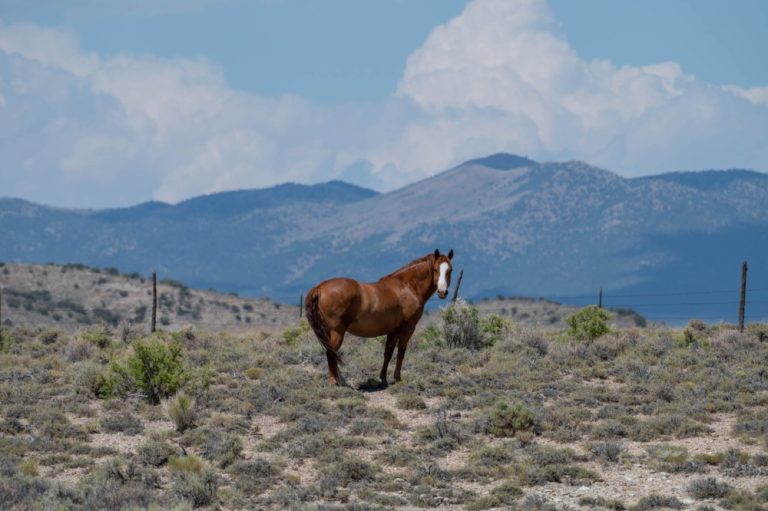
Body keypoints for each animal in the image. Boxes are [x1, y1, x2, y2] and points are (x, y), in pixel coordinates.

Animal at [305, 249, 454, 386]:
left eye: (450, 270)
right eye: (435, 269)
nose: (442, 292)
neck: (407, 287)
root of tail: (319, 287)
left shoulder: (393, 331)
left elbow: (388, 353)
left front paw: (383, 379)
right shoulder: (407, 329)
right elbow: (401, 353)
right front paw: (398, 378)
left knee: (330, 351)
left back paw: (341, 381)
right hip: (337, 331)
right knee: (331, 353)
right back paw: (335, 382)